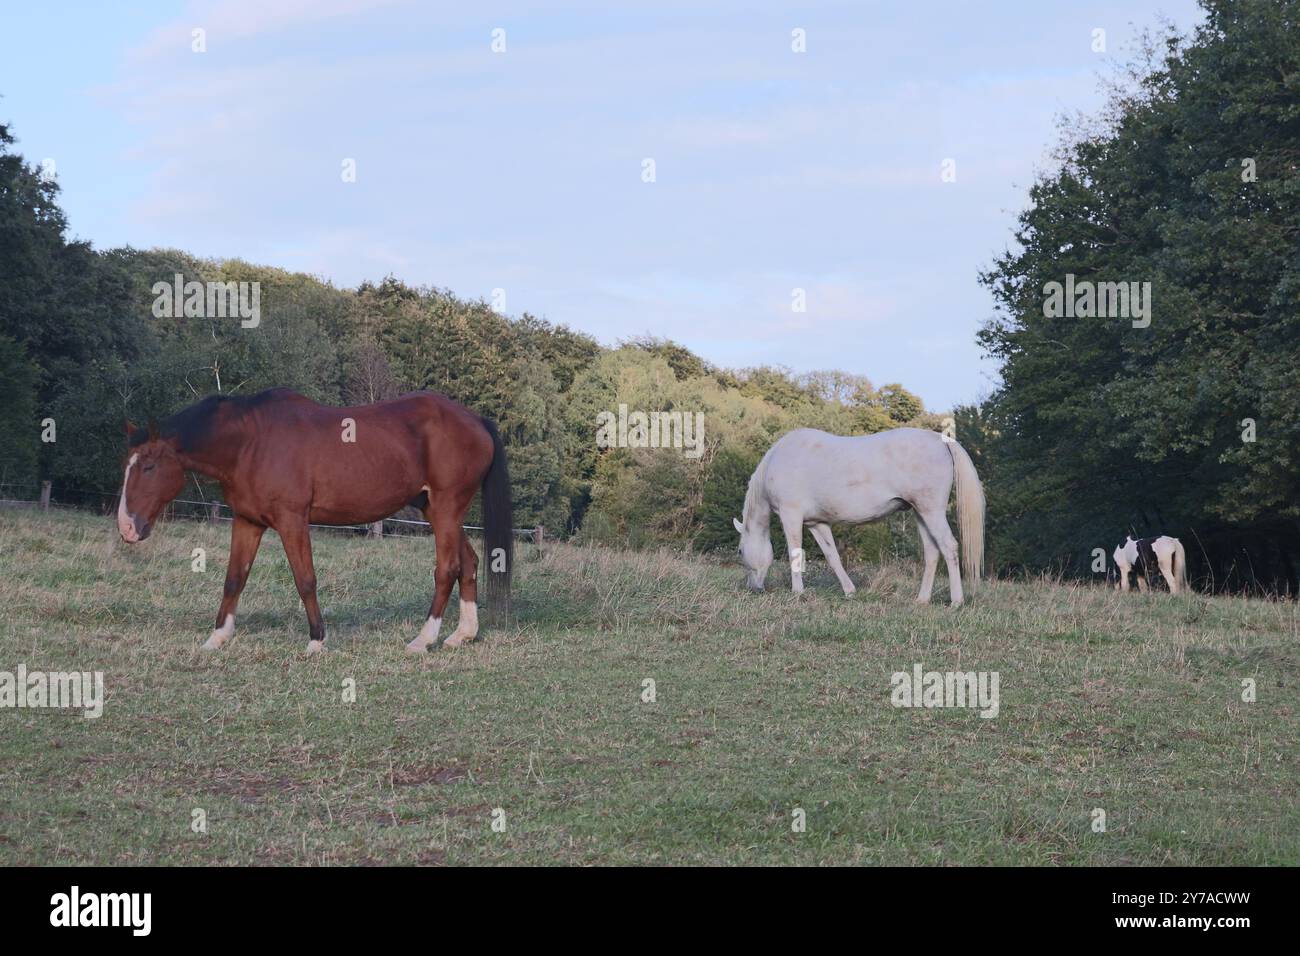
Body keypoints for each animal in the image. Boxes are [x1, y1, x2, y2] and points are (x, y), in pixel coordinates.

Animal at [116, 388, 513, 654]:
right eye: (128, 466)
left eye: (149, 466)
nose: (127, 527)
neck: (251, 443)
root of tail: (475, 420)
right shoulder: (247, 521)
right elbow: (234, 579)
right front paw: (217, 638)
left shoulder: (291, 519)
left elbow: (305, 580)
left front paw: (317, 641)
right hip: (438, 510)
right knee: (469, 562)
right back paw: (462, 634)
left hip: (446, 508)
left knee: (447, 568)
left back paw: (423, 639)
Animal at [733, 427, 984, 605]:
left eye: (740, 551)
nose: (754, 589)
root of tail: (940, 440)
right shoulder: (817, 523)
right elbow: (832, 556)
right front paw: (849, 591)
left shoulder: (791, 516)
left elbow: (795, 554)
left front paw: (797, 592)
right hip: (921, 513)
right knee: (932, 551)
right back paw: (922, 600)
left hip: (931, 511)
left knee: (949, 546)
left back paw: (956, 601)